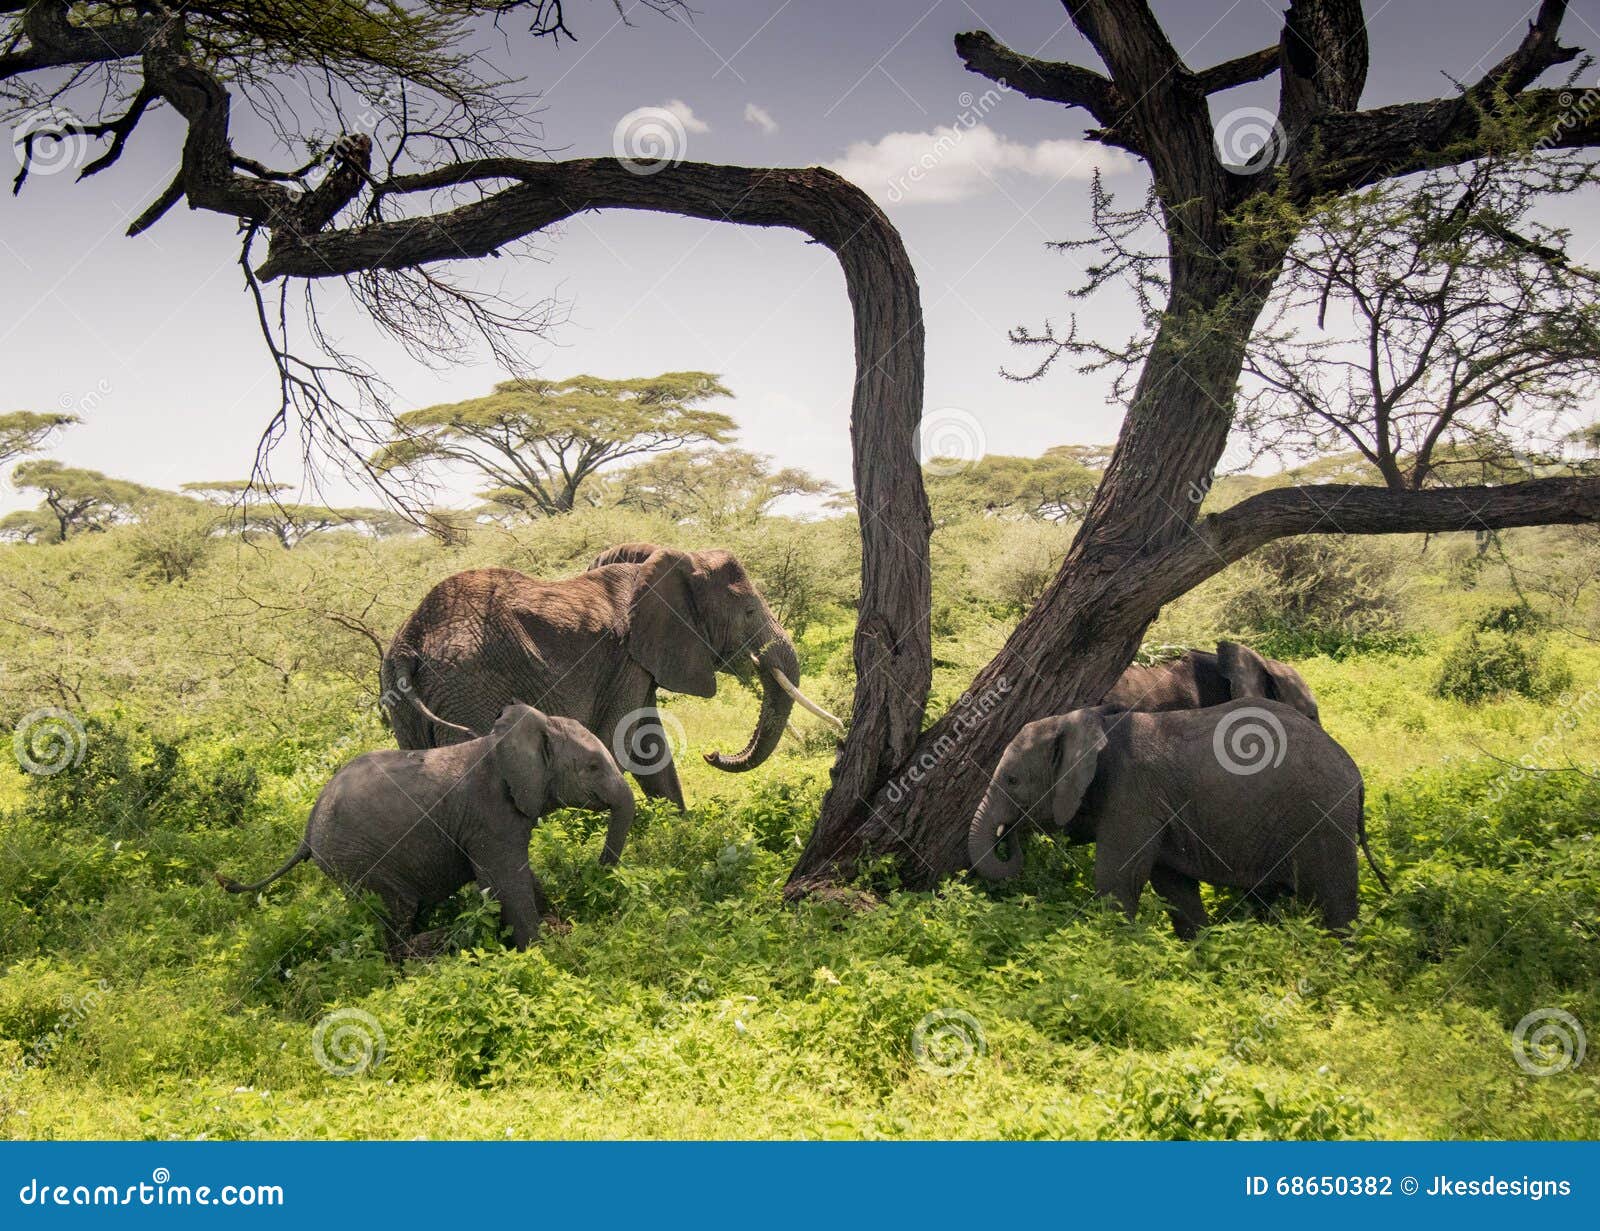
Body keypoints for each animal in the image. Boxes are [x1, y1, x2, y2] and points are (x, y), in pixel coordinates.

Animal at [217, 704, 633, 960]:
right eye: (593, 767)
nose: (595, 872)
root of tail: (307, 828)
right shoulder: (488, 817)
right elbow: (503, 882)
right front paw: (540, 951)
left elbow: (519, 877)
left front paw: (560, 929)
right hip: (359, 859)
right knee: (396, 916)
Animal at [380, 544, 842, 810]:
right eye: (747, 612)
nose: (712, 754)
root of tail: (411, 641)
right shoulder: (625, 660)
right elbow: (626, 745)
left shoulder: (639, 659)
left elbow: (650, 746)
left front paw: (679, 829)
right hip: (468, 689)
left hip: (404, 700)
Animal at [967, 699, 1387, 937]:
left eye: (1012, 780)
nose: (1010, 834)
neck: (1090, 725)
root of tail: (1356, 775)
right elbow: (1173, 886)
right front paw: (1200, 952)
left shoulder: (1133, 796)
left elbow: (1117, 880)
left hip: (1323, 820)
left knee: (1334, 901)